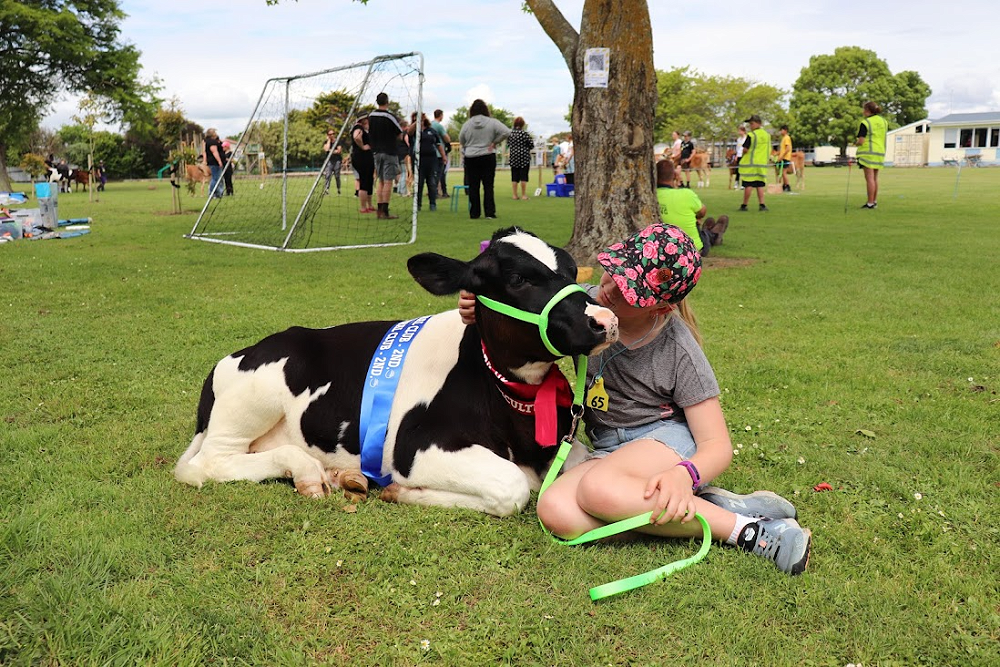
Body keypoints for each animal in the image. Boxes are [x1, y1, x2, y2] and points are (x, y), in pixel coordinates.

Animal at [174, 227, 619, 517]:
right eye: (518, 278)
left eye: (570, 268)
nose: (605, 320)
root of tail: (240, 353)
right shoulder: (416, 446)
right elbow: (513, 486)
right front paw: (401, 492)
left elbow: (580, 461)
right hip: (254, 396)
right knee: (209, 463)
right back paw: (308, 472)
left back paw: (337, 474)